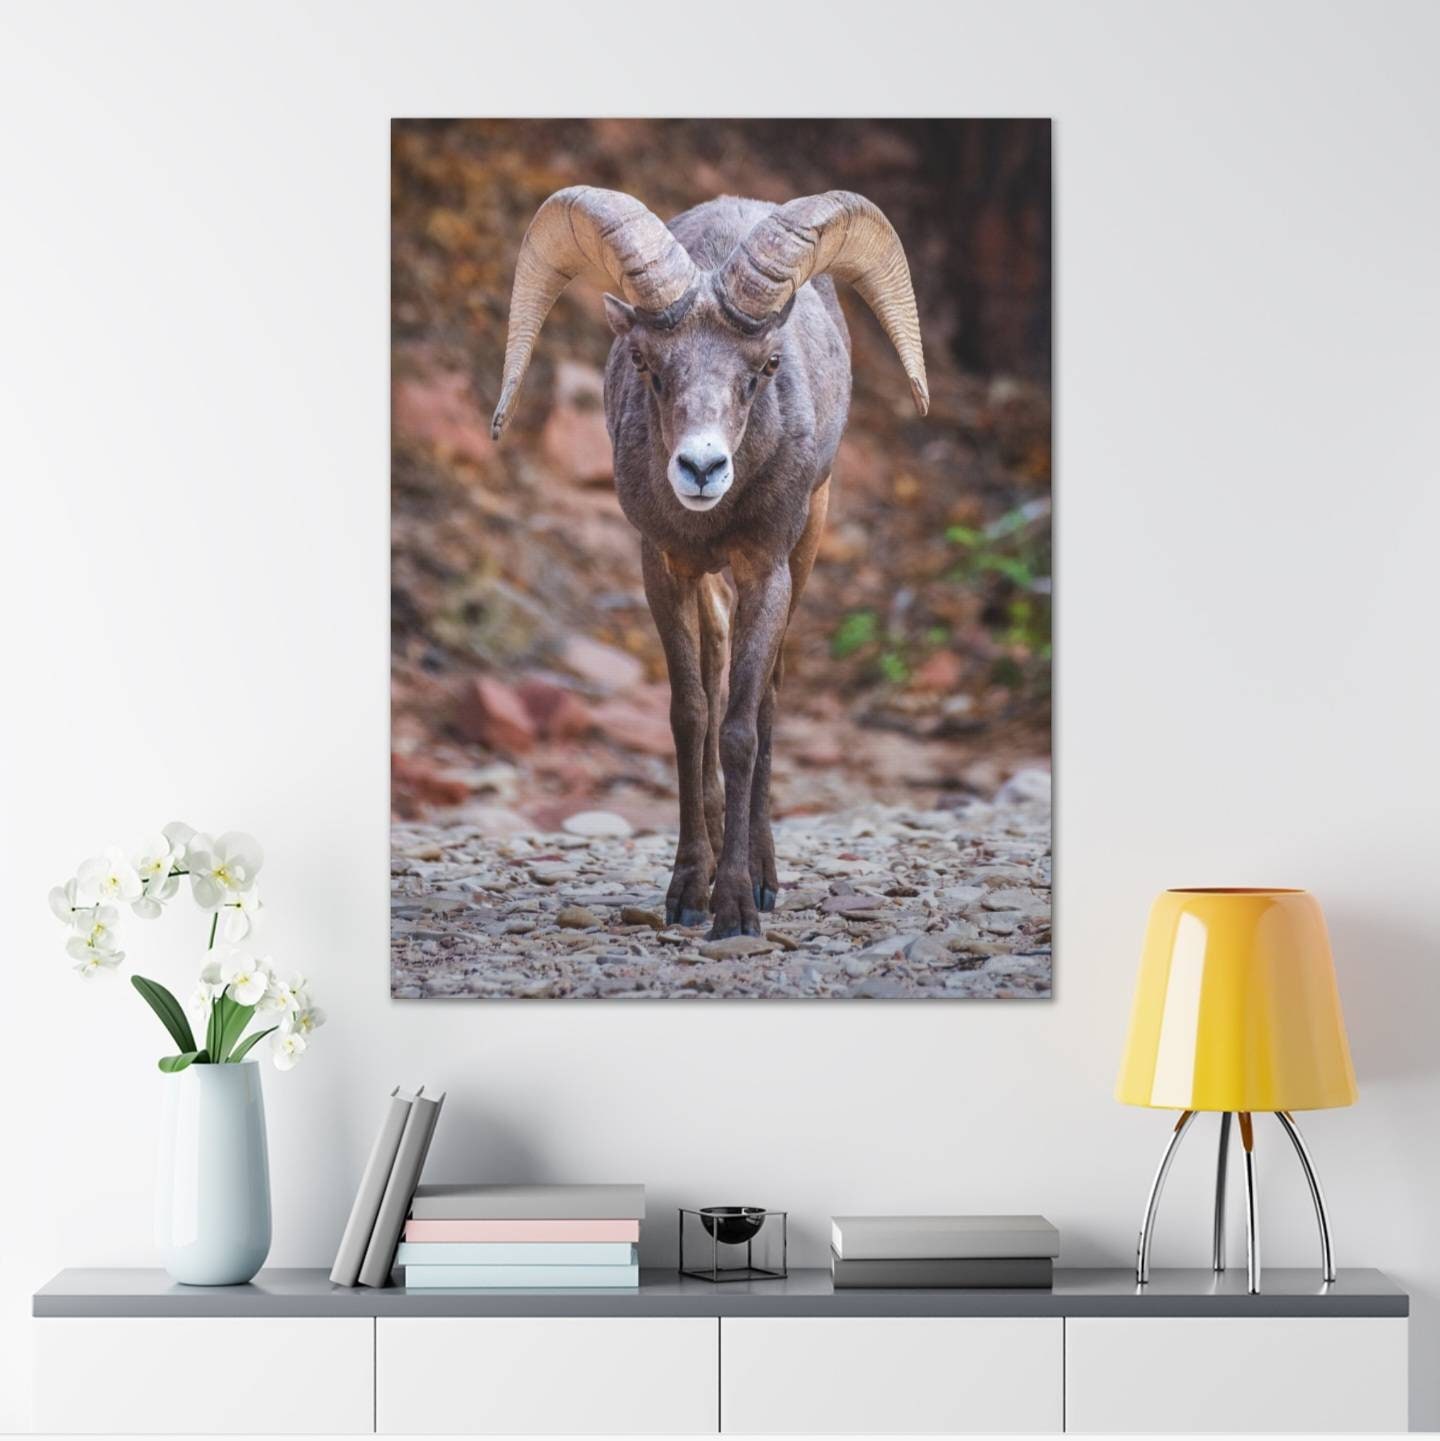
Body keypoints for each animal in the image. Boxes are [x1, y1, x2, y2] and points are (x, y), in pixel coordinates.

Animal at [491, 187, 928, 939]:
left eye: (765, 366)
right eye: (646, 362)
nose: (700, 468)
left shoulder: (765, 568)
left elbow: (742, 727)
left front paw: (735, 908)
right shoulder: (665, 568)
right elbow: (690, 716)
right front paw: (688, 894)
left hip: (809, 541)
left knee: (771, 698)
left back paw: (765, 877)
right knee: (717, 650)